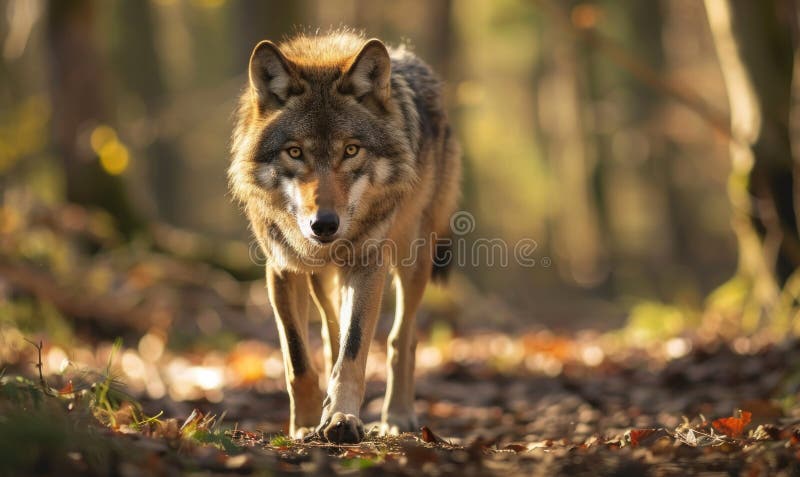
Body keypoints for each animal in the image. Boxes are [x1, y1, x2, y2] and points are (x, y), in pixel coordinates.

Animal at [228, 31, 461, 443]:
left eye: (351, 150)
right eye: (295, 152)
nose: (324, 225)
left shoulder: (368, 264)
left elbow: (354, 352)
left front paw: (341, 419)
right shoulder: (282, 269)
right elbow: (299, 360)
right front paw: (305, 425)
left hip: (413, 258)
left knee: (401, 339)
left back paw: (397, 415)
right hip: (322, 278)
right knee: (330, 333)